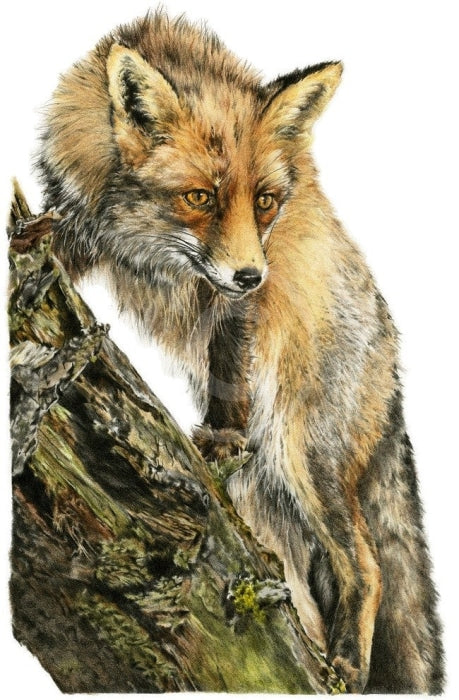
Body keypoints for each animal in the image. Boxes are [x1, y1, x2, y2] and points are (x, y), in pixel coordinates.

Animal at [37, 11, 444, 694]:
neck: (143, 241)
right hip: (263, 496)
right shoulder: (79, 222)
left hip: (304, 458)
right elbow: (48, 241)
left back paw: (346, 665)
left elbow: (229, 362)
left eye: (265, 202)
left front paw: (220, 433)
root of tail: (392, 365)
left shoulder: (235, 309)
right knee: (300, 590)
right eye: (200, 198)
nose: (253, 275)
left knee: (367, 564)